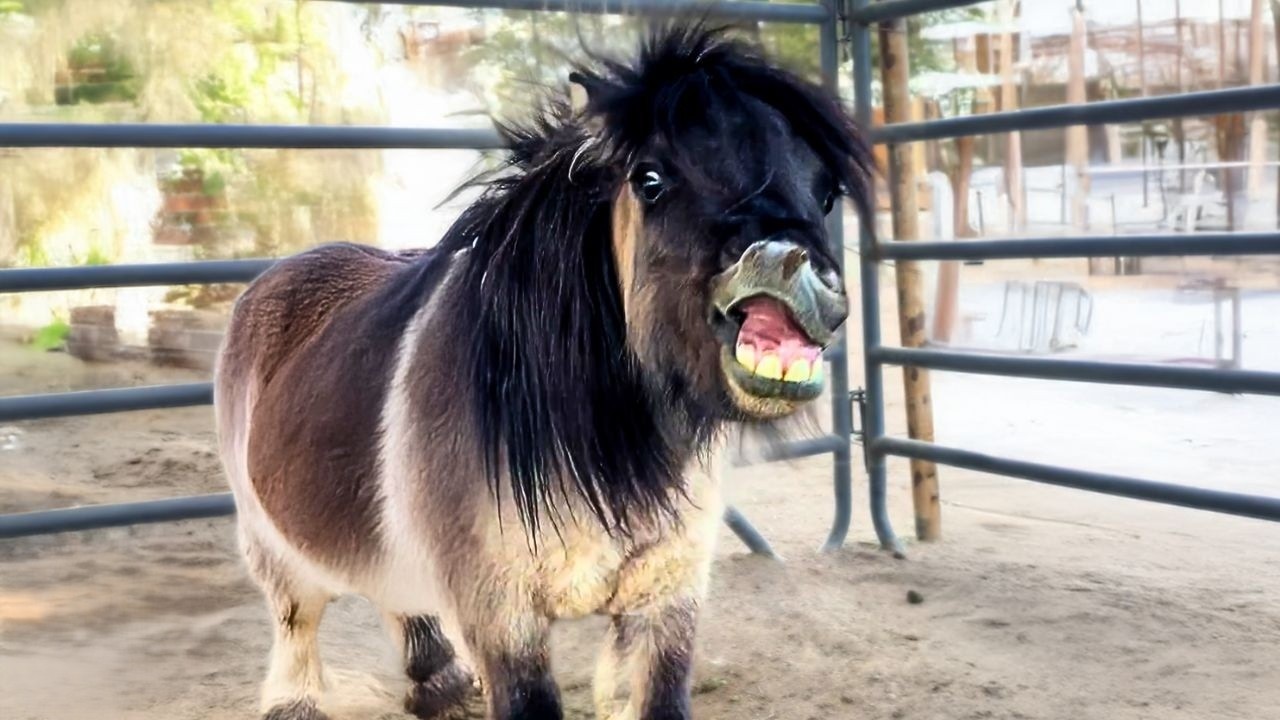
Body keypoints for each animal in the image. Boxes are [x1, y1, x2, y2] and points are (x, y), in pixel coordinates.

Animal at [214, 22, 872, 720]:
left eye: (826, 190)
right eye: (651, 178)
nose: (791, 267)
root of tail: (280, 273)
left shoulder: (665, 605)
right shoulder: (504, 618)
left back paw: (440, 683)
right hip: (270, 542)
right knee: (296, 618)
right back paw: (296, 701)